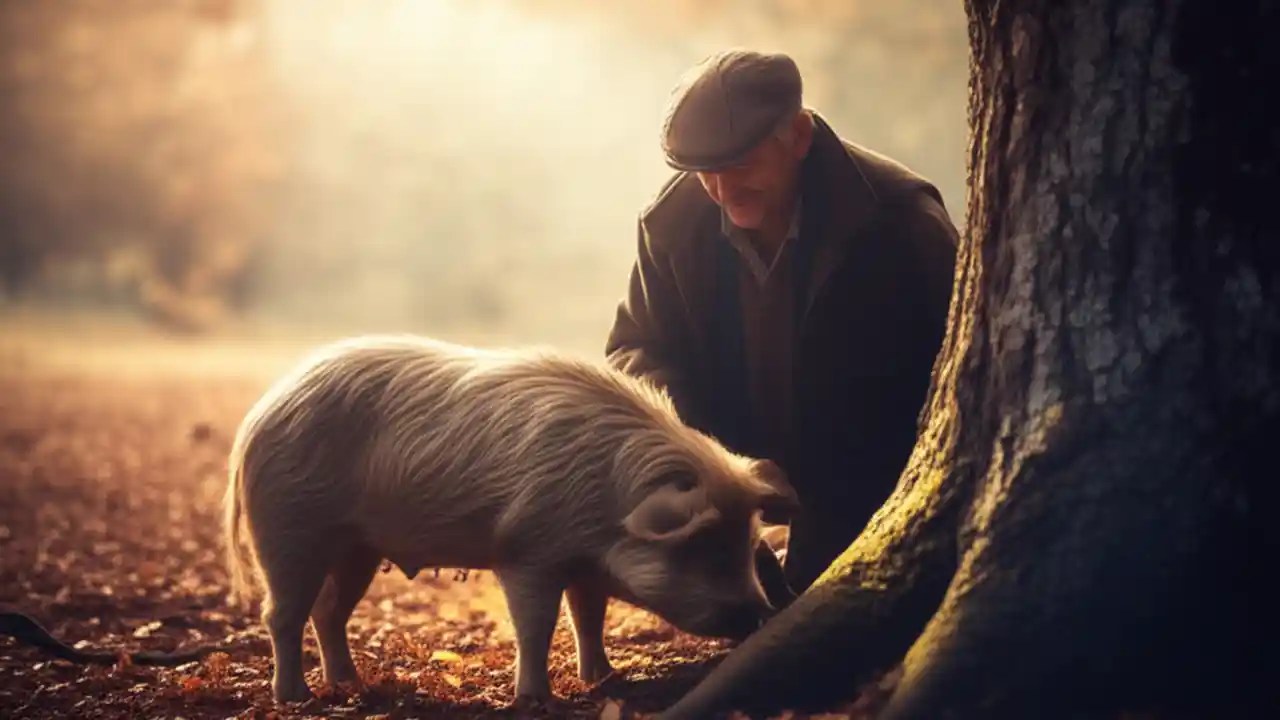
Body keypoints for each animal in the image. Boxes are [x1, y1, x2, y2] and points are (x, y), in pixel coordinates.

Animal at [223, 334, 800, 704]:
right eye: (706, 549)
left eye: (745, 545)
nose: (763, 613)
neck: (603, 500)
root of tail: (258, 414)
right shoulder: (528, 551)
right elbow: (537, 625)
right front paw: (535, 700)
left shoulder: (585, 564)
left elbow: (588, 617)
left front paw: (604, 680)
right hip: (288, 530)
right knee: (280, 614)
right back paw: (295, 698)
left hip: (357, 549)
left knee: (327, 612)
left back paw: (351, 688)